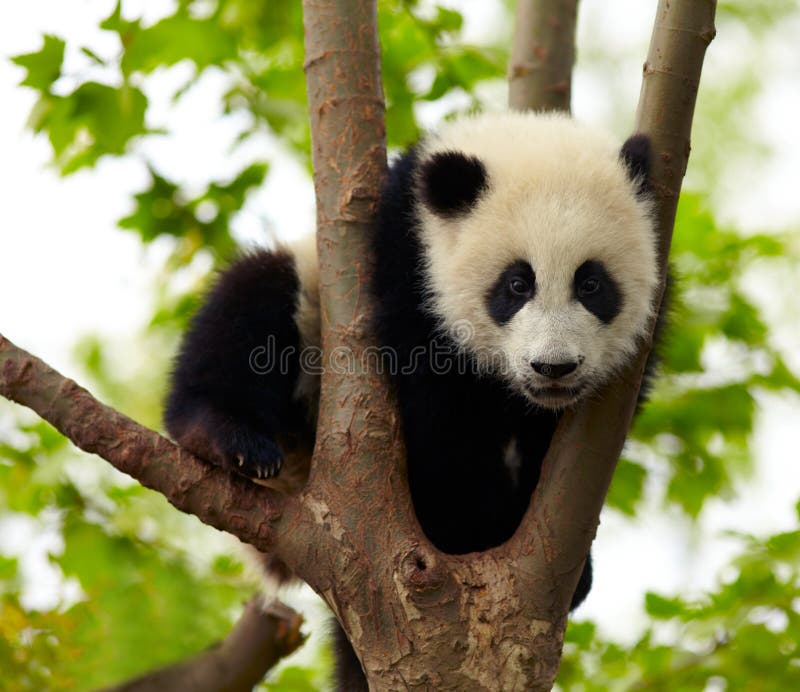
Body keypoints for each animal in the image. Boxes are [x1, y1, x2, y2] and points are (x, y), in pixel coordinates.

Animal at [164, 111, 660, 689]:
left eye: (591, 284)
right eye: (517, 284)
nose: (553, 368)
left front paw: (562, 562)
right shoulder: (406, 267)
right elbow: (437, 423)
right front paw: (465, 531)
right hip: (307, 317)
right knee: (250, 305)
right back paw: (227, 438)